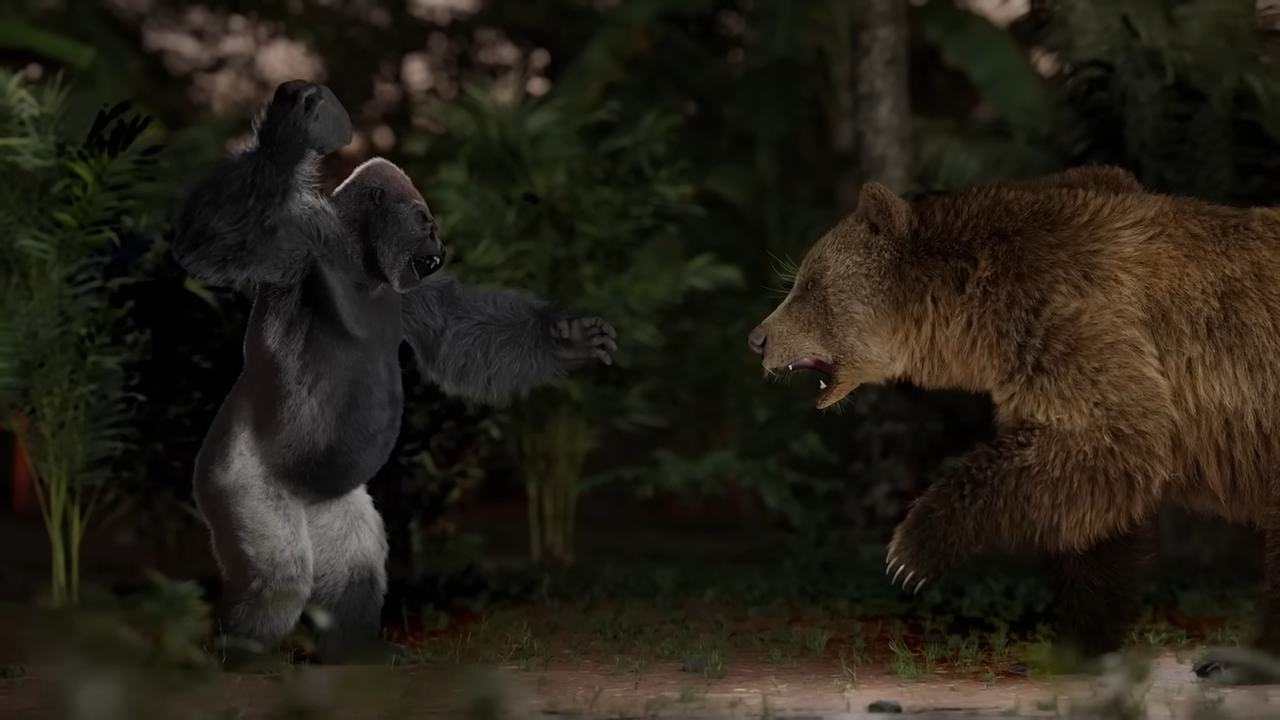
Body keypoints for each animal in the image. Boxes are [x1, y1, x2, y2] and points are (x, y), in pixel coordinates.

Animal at [747, 164, 1280, 682]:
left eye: (807, 283)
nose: (757, 338)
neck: (977, 317)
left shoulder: (1070, 321)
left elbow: (1113, 441)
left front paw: (910, 551)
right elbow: (1091, 516)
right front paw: (1072, 646)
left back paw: (1236, 662)